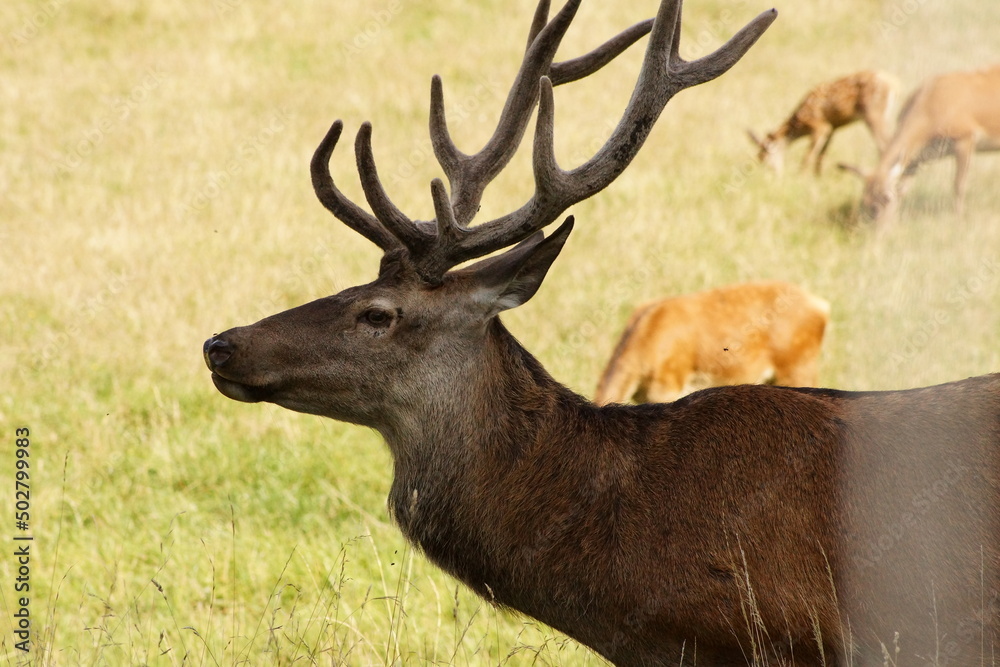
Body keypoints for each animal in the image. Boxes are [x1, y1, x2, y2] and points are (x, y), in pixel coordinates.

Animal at [747, 70, 898, 175]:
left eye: (764, 156)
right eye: (760, 157)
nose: (771, 174)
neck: (799, 125)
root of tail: (893, 83)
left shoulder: (821, 126)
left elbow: (808, 156)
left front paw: (800, 177)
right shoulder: (831, 128)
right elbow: (821, 157)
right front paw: (816, 178)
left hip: (873, 114)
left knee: (885, 144)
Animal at [839, 65, 1000, 226]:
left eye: (886, 198)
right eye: (865, 200)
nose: (879, 228)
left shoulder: (965, 139)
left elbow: (958, 185)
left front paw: (958, 220)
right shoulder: (918, 157)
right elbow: (903, 189)